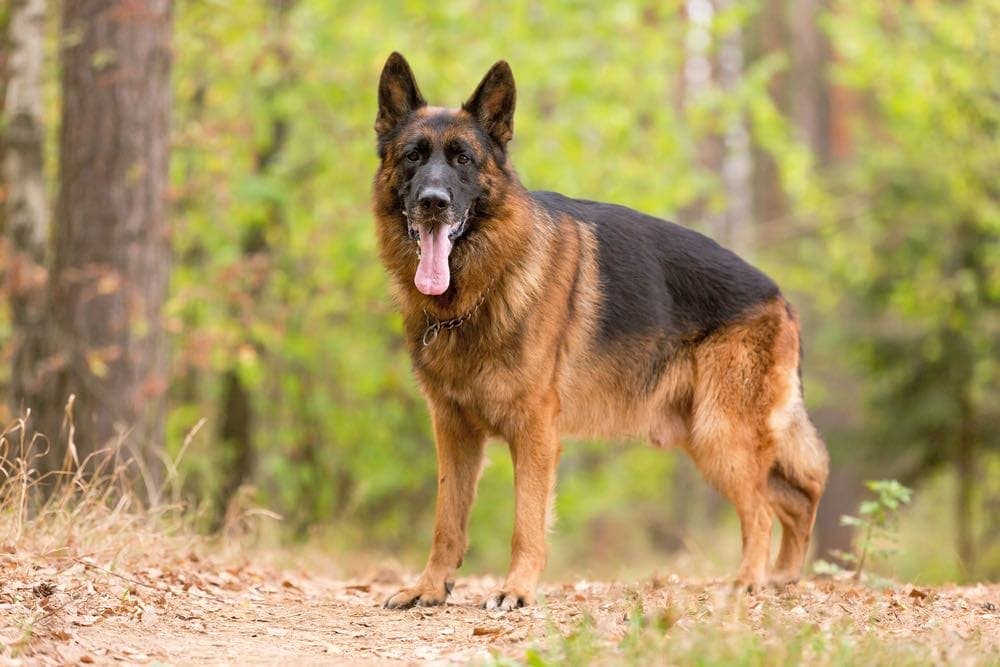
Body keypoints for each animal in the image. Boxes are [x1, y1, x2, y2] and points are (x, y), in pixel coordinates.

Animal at [374, 54, 828, 612]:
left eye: (462, 159)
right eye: (413, 156)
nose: (433, 202)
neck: (480, 290)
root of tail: (778, 295)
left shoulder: (535, 431)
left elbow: (526, 522)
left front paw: (516, 589)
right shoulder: (454, 431)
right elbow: (447, 521)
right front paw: (431, 587)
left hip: (720, 435)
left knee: (765, 507)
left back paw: (749, 581)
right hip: (706, 438)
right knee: (795, 495)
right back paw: (782, 577)